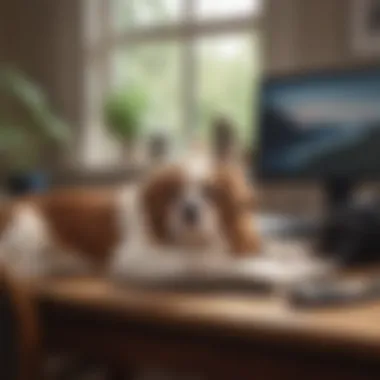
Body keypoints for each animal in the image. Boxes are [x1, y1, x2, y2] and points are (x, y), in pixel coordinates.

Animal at [0, 154, 260, 280]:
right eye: (173, 194)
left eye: (210, 193)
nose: (189, 208)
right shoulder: (133, 258)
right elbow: (197, 259)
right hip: (28, 226)